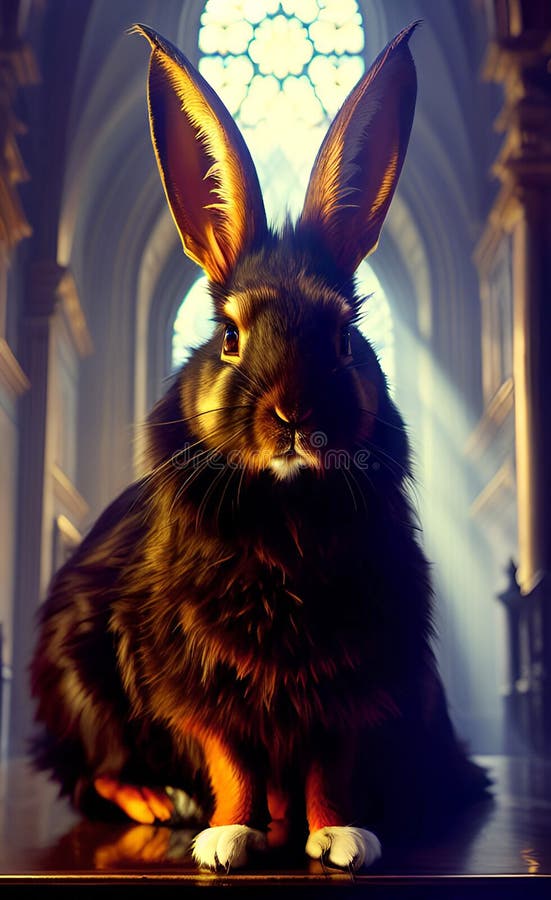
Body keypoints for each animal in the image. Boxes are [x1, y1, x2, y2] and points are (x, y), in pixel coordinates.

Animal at [30, 22, 490, 872]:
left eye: (343, 339)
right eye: (229, 338)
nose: (293, 416)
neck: (286, 513)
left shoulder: (356, 676)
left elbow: (330, 761)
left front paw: (341, 836)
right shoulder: (195, 674)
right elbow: (229, 756)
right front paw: (226, 837)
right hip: (78, 675)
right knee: (90, 770)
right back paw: (162, 800)